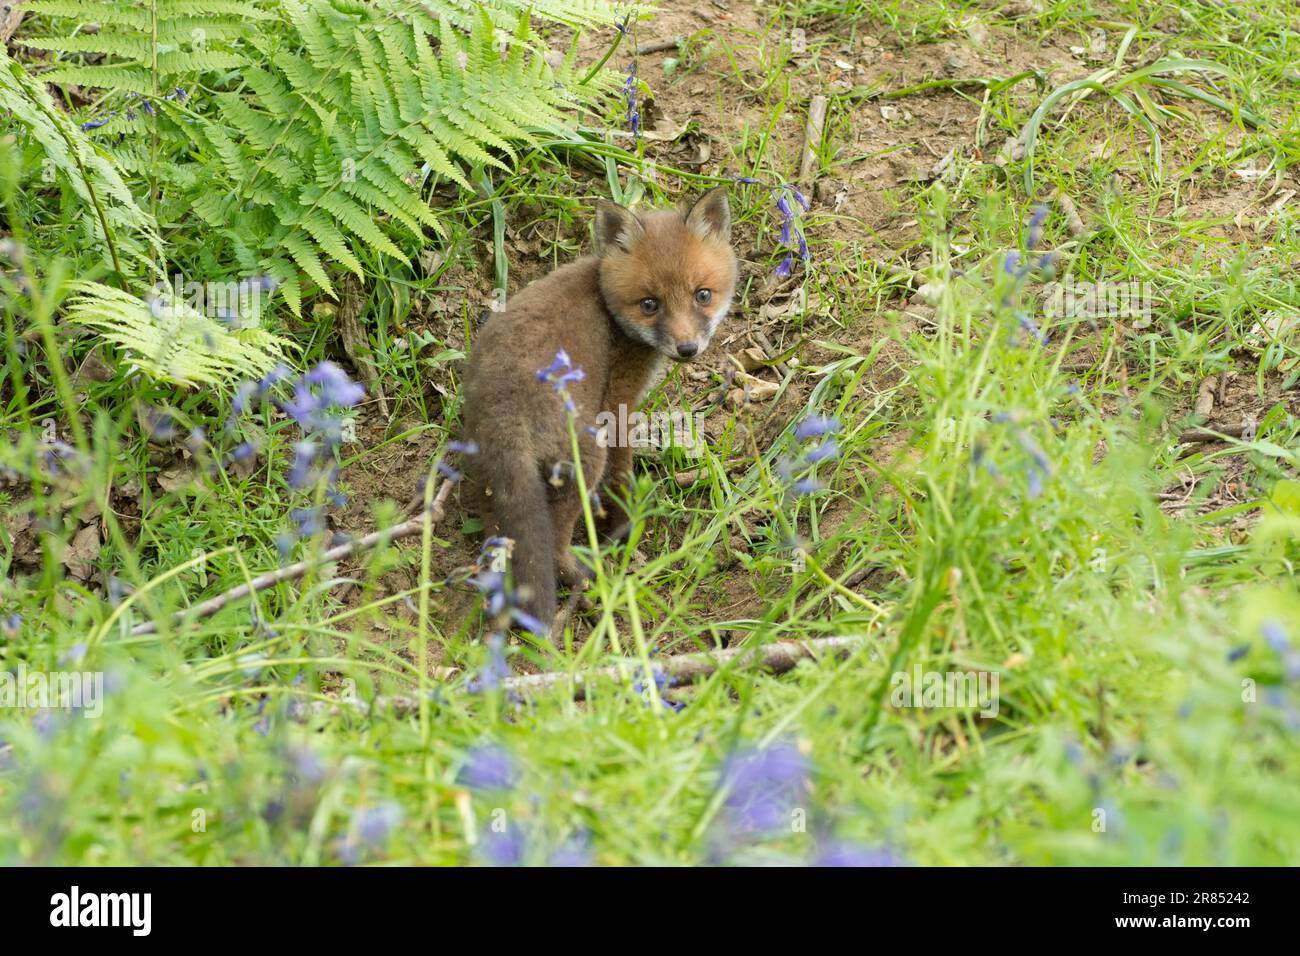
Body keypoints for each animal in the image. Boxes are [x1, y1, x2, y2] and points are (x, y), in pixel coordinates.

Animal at [460, 187, 738, 633]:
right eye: (649, 304)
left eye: (703, 295)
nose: (687, 349)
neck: (608, 307)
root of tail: (503, 408)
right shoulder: (617, 402)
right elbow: (622, 470)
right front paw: (626, 518)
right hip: (585, 458)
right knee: (555, 547)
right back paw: (586, 578)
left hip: (493, 486)